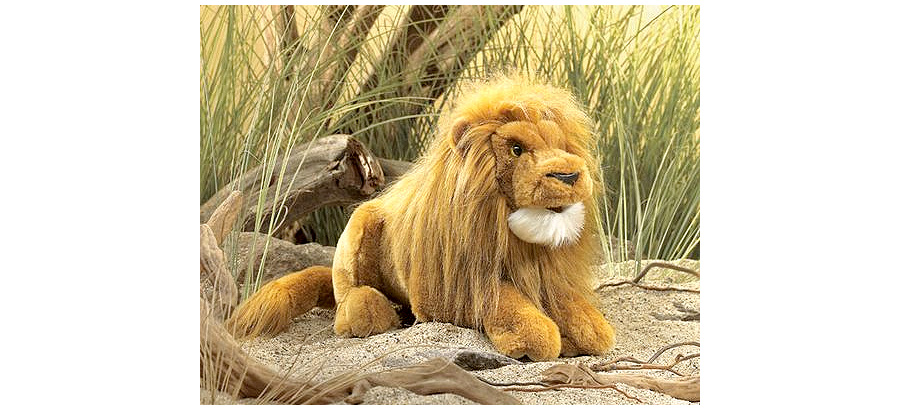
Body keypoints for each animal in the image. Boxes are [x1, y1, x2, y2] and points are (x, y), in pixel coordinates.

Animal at [226, 75, 615, 360]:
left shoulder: (545, 274)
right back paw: (371, 311)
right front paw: (537, 337)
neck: (509, 230)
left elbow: (568, 302)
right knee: (347, 294)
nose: (569, 176)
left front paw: (590, 328)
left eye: (561, 145)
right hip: (359, 226)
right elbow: (506, 301)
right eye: (517, 149)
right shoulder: (448, 293)